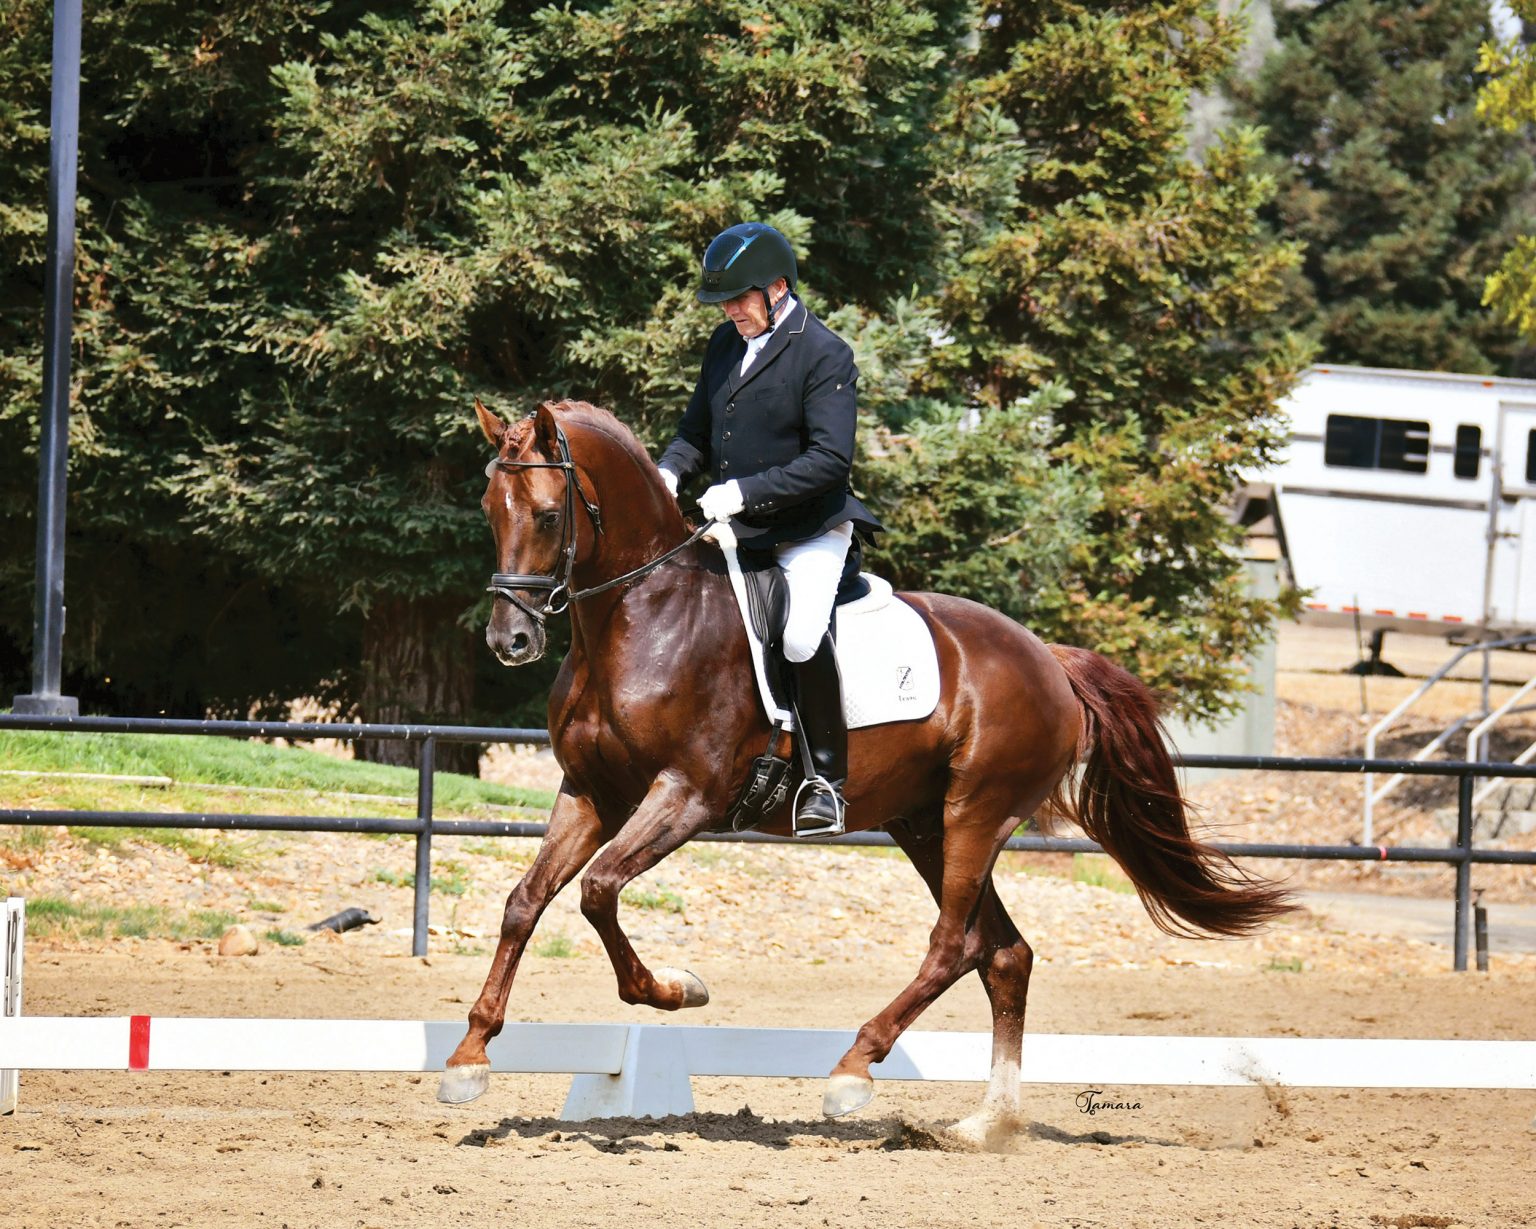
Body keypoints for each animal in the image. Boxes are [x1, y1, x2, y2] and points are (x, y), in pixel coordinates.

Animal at [440, 397, 1291, 1140]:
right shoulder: (590, 793)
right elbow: (526, 901)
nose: (511, 641)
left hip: (976, 814)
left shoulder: (686, 795)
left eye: (548, 514)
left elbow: (598, 890)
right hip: (923, 824)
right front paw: (470, 1056)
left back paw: (854, 1068)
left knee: (954, 944)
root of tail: (1049, 658)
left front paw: (676, 988)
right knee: (1004, 953)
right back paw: (986, 1123)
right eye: (489, 510)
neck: (641, 616)